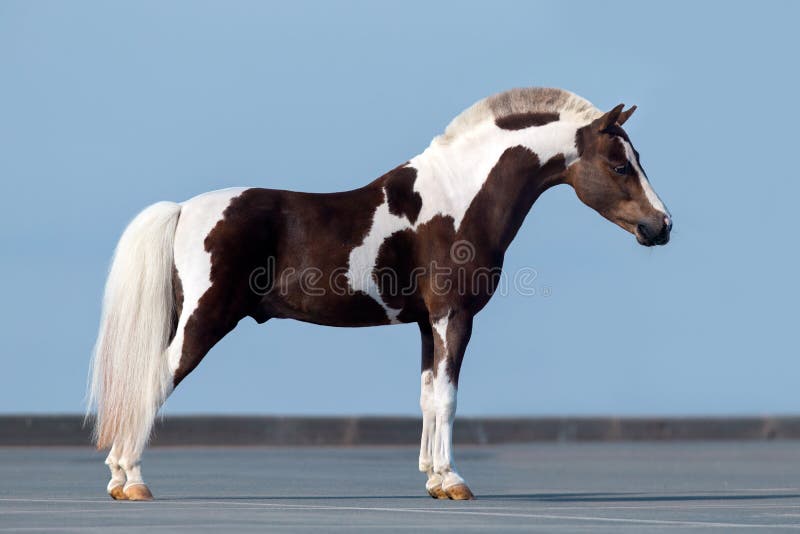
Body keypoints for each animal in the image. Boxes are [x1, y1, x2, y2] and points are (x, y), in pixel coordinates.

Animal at [88, 87, 671, 501]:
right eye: (620, 164)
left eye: (636, 159)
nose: (661, 226)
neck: (459, 200)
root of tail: (183, 209)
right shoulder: (454, 316)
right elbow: (449, 397)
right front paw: (455, 481)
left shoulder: (427, 323)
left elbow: (428, 396)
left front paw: (434, 479)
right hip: (203, 321)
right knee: (152, 383)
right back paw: (131, 481)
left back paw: (119, 477)